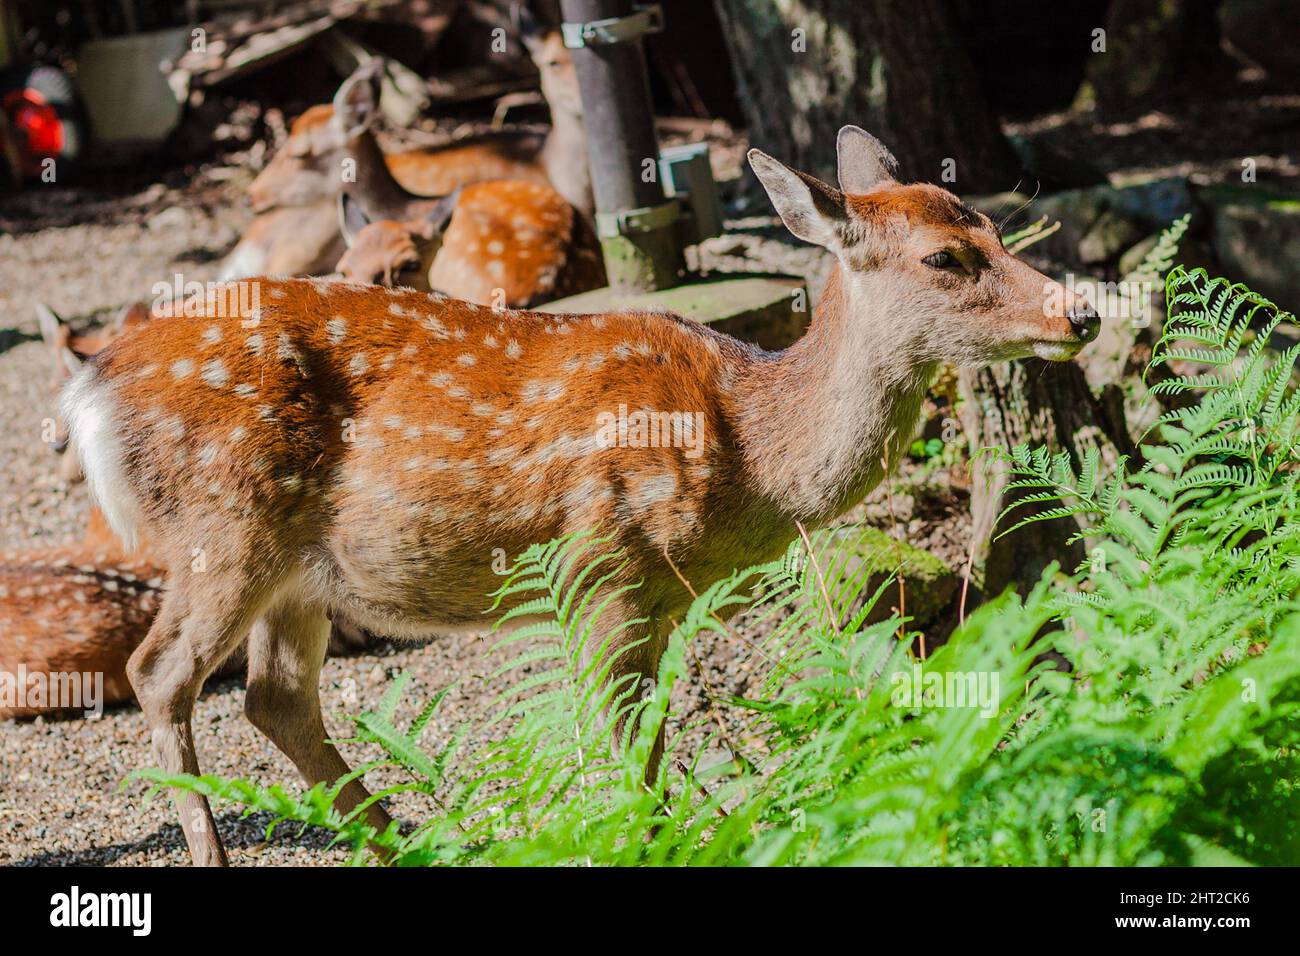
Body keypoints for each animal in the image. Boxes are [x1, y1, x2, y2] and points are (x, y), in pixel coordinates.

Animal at [61, 127, 1099, 865]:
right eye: (943, 258)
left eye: (995, 228)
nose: (1081, 313)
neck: (746, 453)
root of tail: (91, 387)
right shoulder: (598, 567)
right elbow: (623, 749)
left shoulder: (664, 602)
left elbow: (648, 740)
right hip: (224, 524)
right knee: (161, 673)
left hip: (300, 573)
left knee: (275, 699)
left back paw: (415, 847)